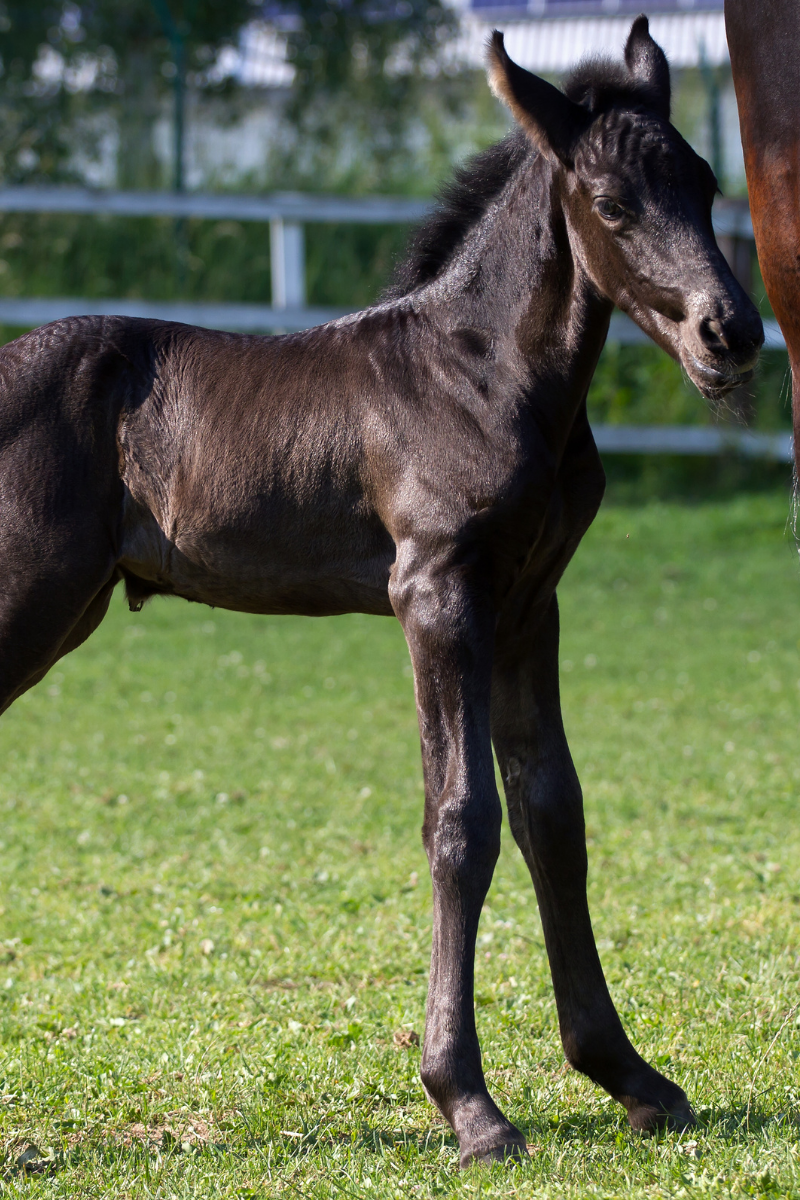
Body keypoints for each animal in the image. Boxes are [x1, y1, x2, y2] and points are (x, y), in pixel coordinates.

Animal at [0, 17, 763, 1166]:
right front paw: (469, 1105)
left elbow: (552, 814)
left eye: (707, 185)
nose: (732, 334)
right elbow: (460, 818)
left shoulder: (527, 604)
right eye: (612, 203)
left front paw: (630, 1077)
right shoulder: (435, 591)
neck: (483, 373)